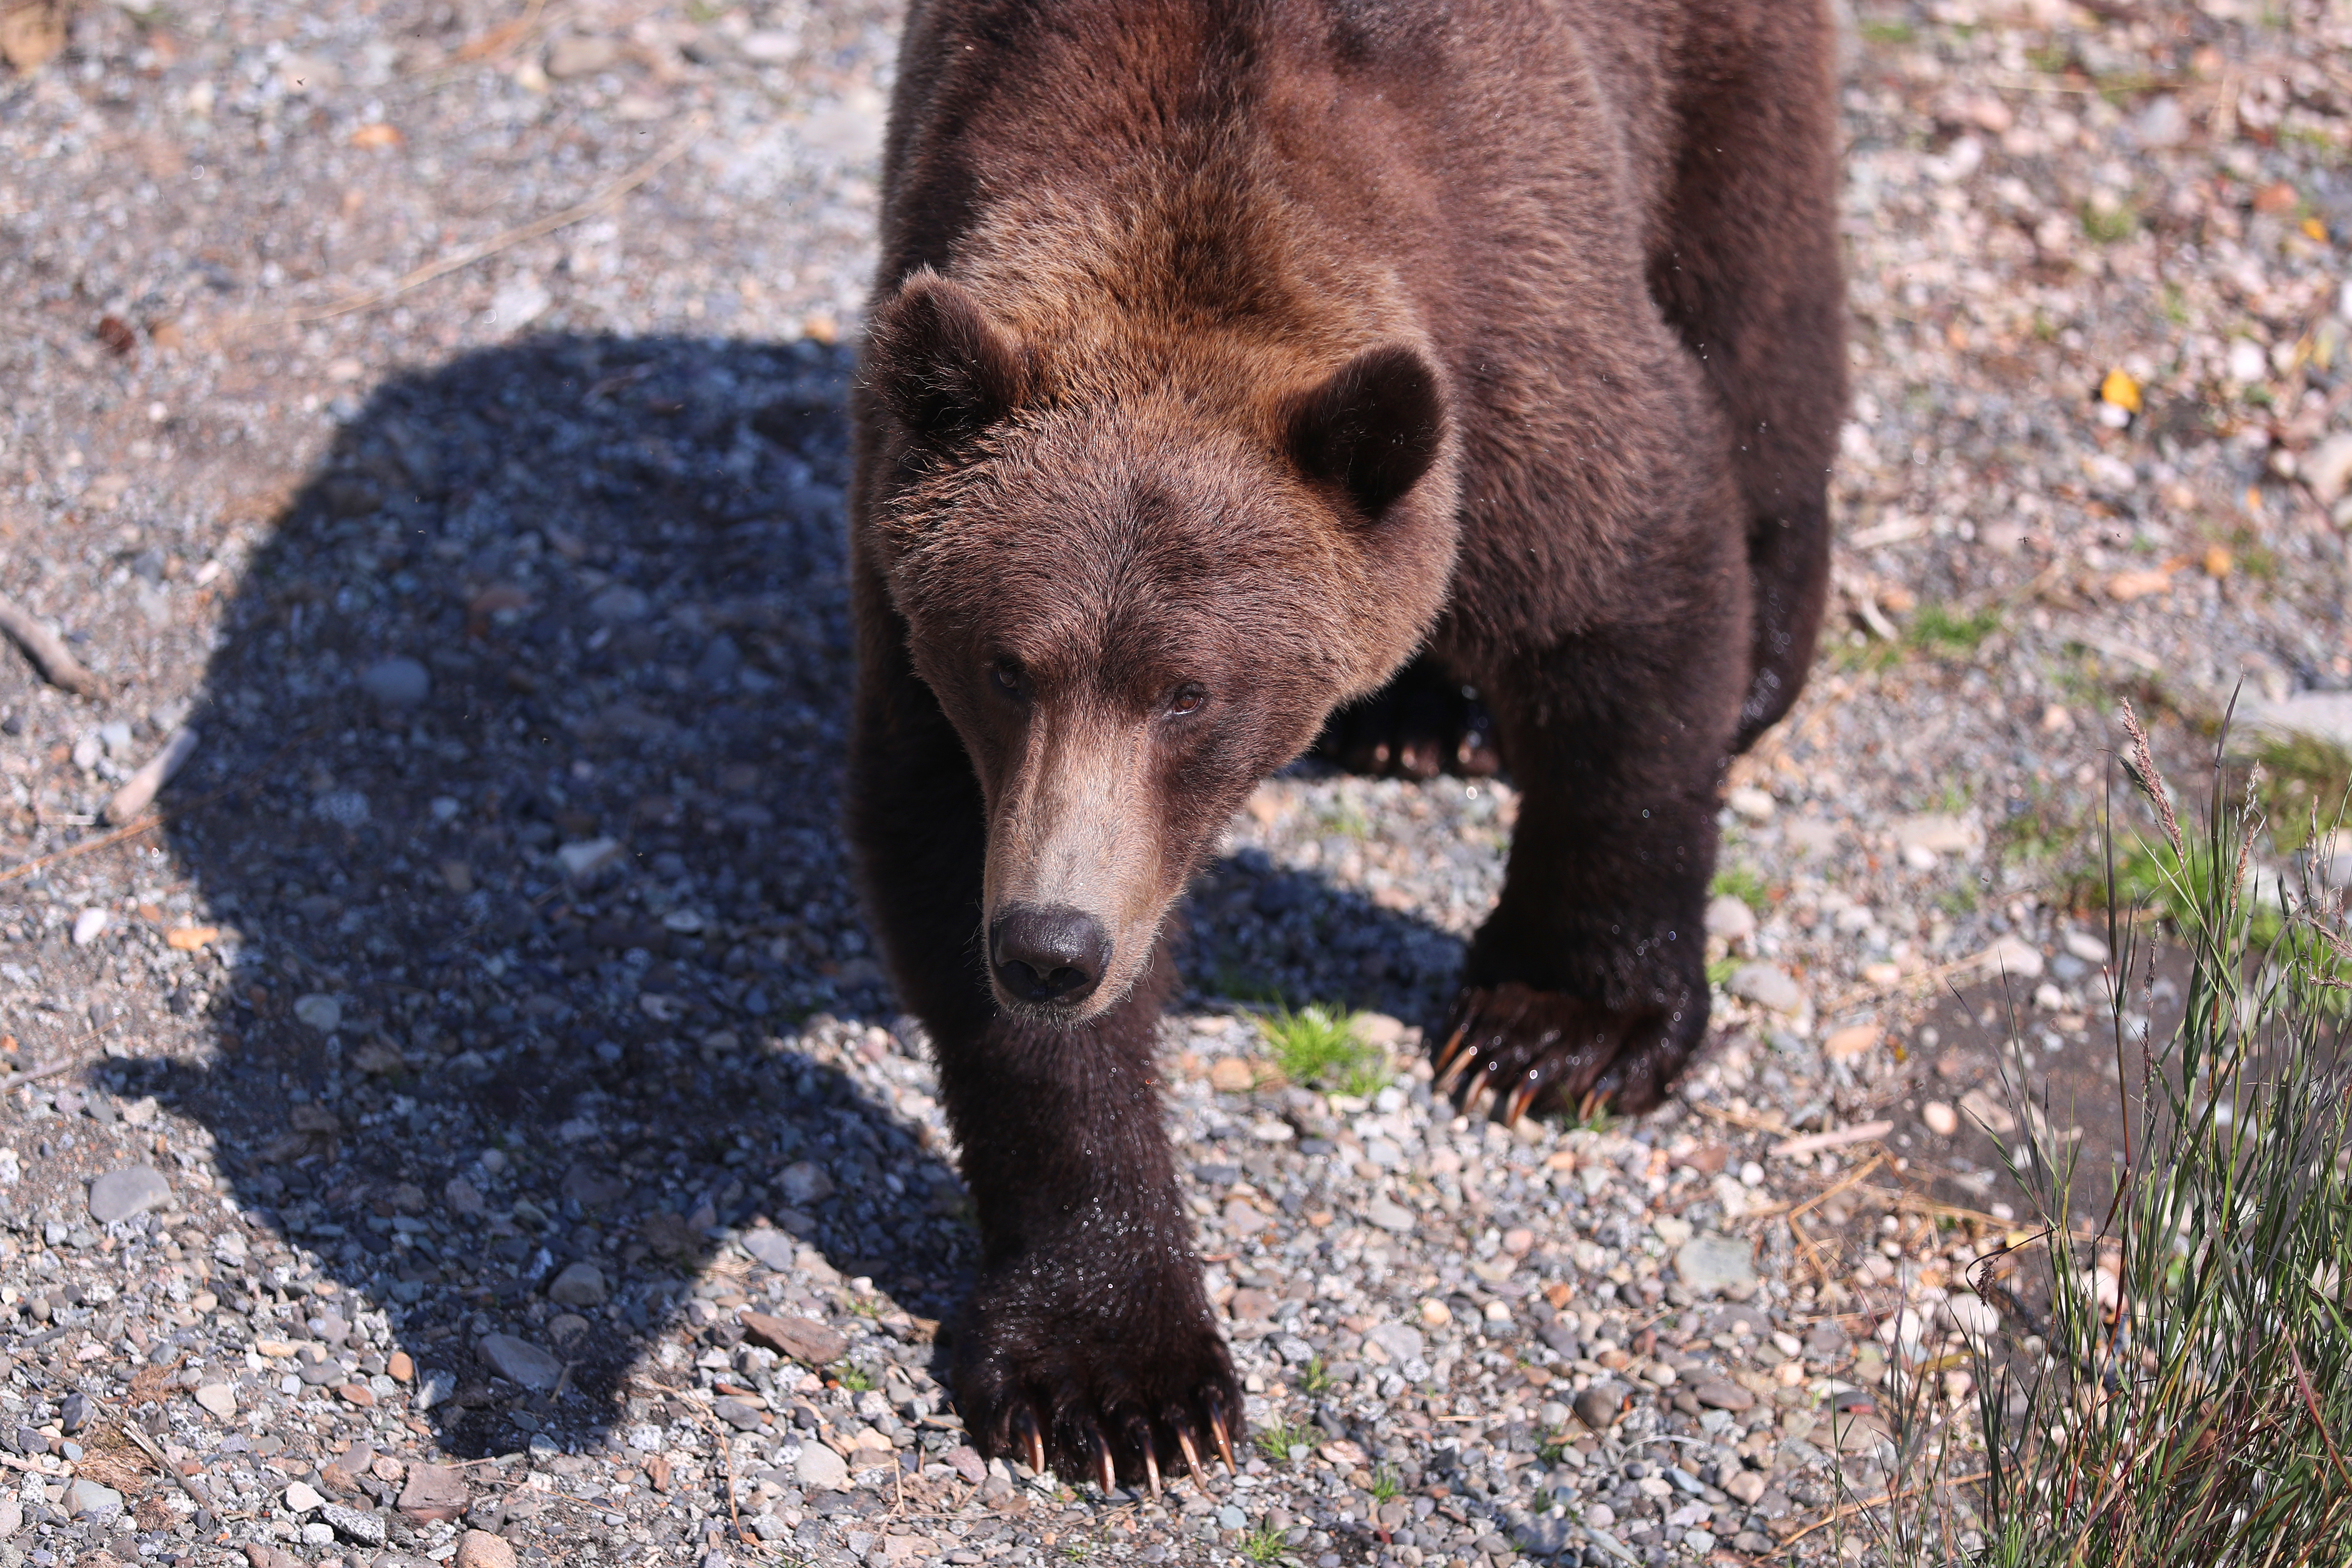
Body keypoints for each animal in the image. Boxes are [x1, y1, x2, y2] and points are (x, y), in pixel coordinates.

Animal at [844, 0, 1844, 1492]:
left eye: (1188, 691)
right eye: (1007, 666)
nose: (1050, 945)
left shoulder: (1510, 313)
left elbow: (1629, 593)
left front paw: (1554, 1029)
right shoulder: (909, 574)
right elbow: (948, 867)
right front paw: (1117, 1376)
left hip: (1709, 71)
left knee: (1758, 293)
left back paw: (1762, 656)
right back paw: (1406, 718)